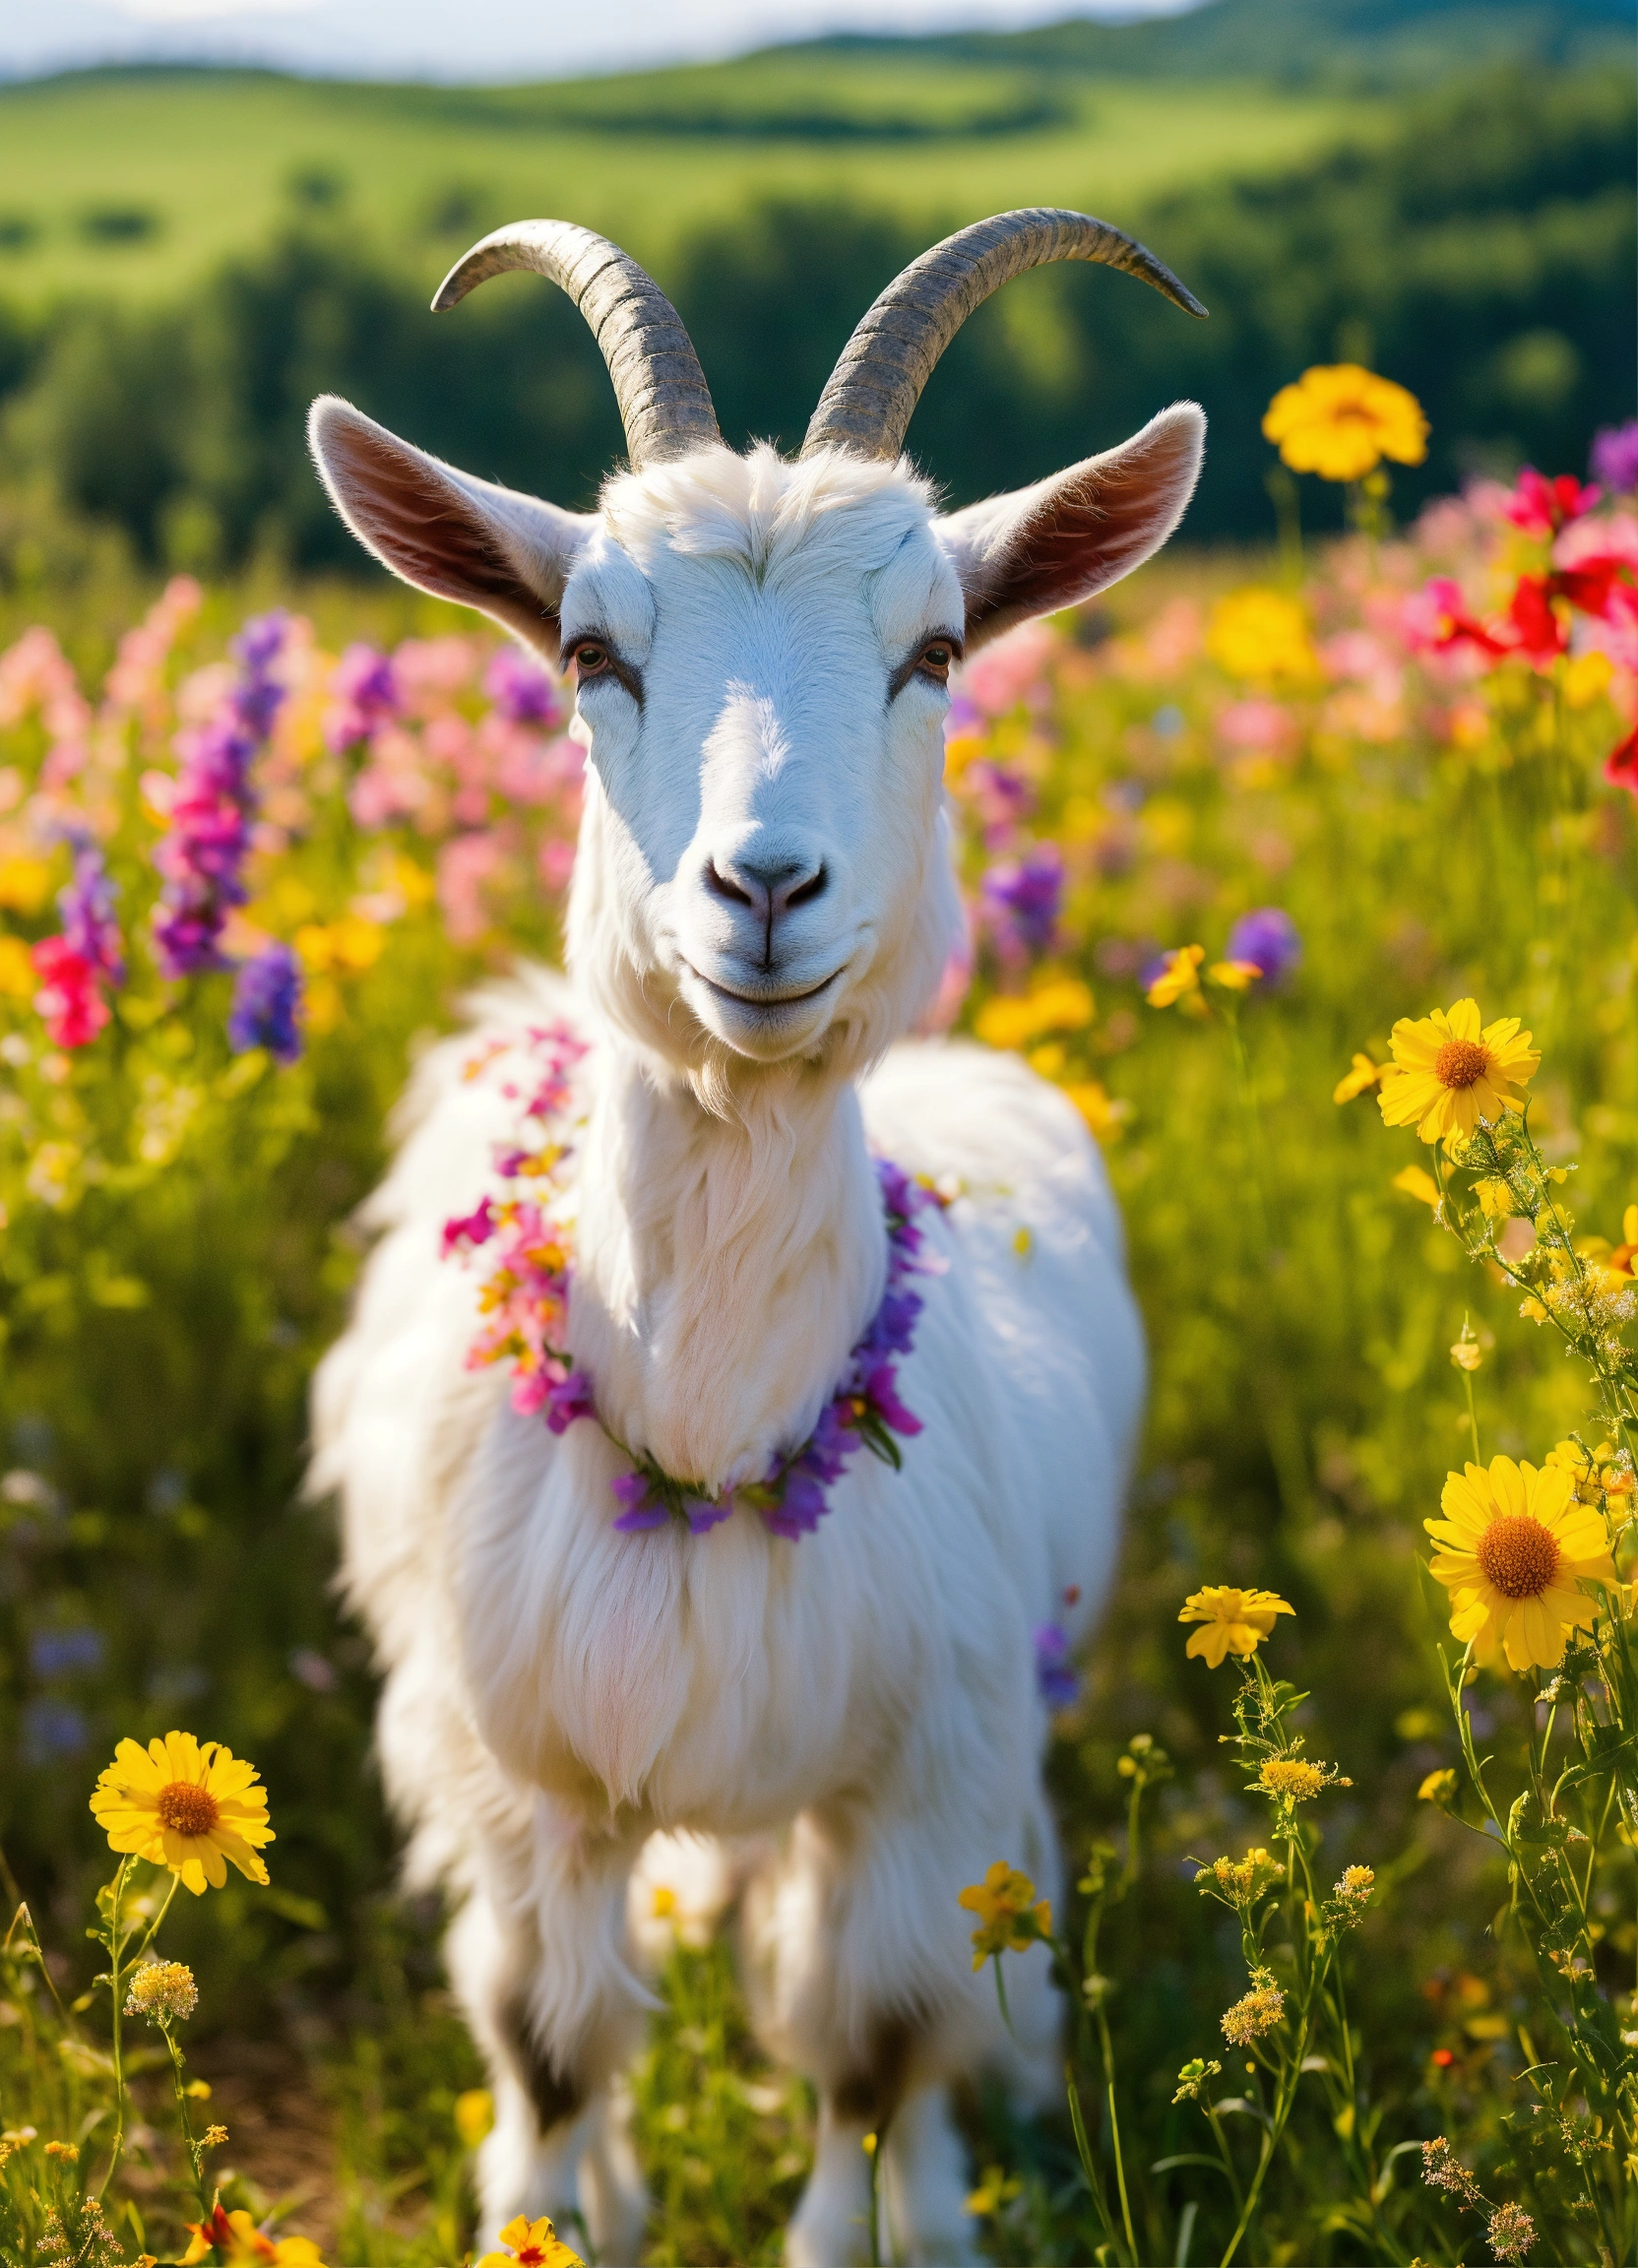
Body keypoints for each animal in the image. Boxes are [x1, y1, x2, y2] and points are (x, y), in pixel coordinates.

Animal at [307, 208, 1205, 2265]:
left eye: (935, 648)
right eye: (587, 648)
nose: (763, 888)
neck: (715, 1430)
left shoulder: (920, 1779)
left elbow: (867, 2056)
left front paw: (893, 2208)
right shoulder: (520, 1772)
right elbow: (549, 2038)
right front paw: (556, 2213)